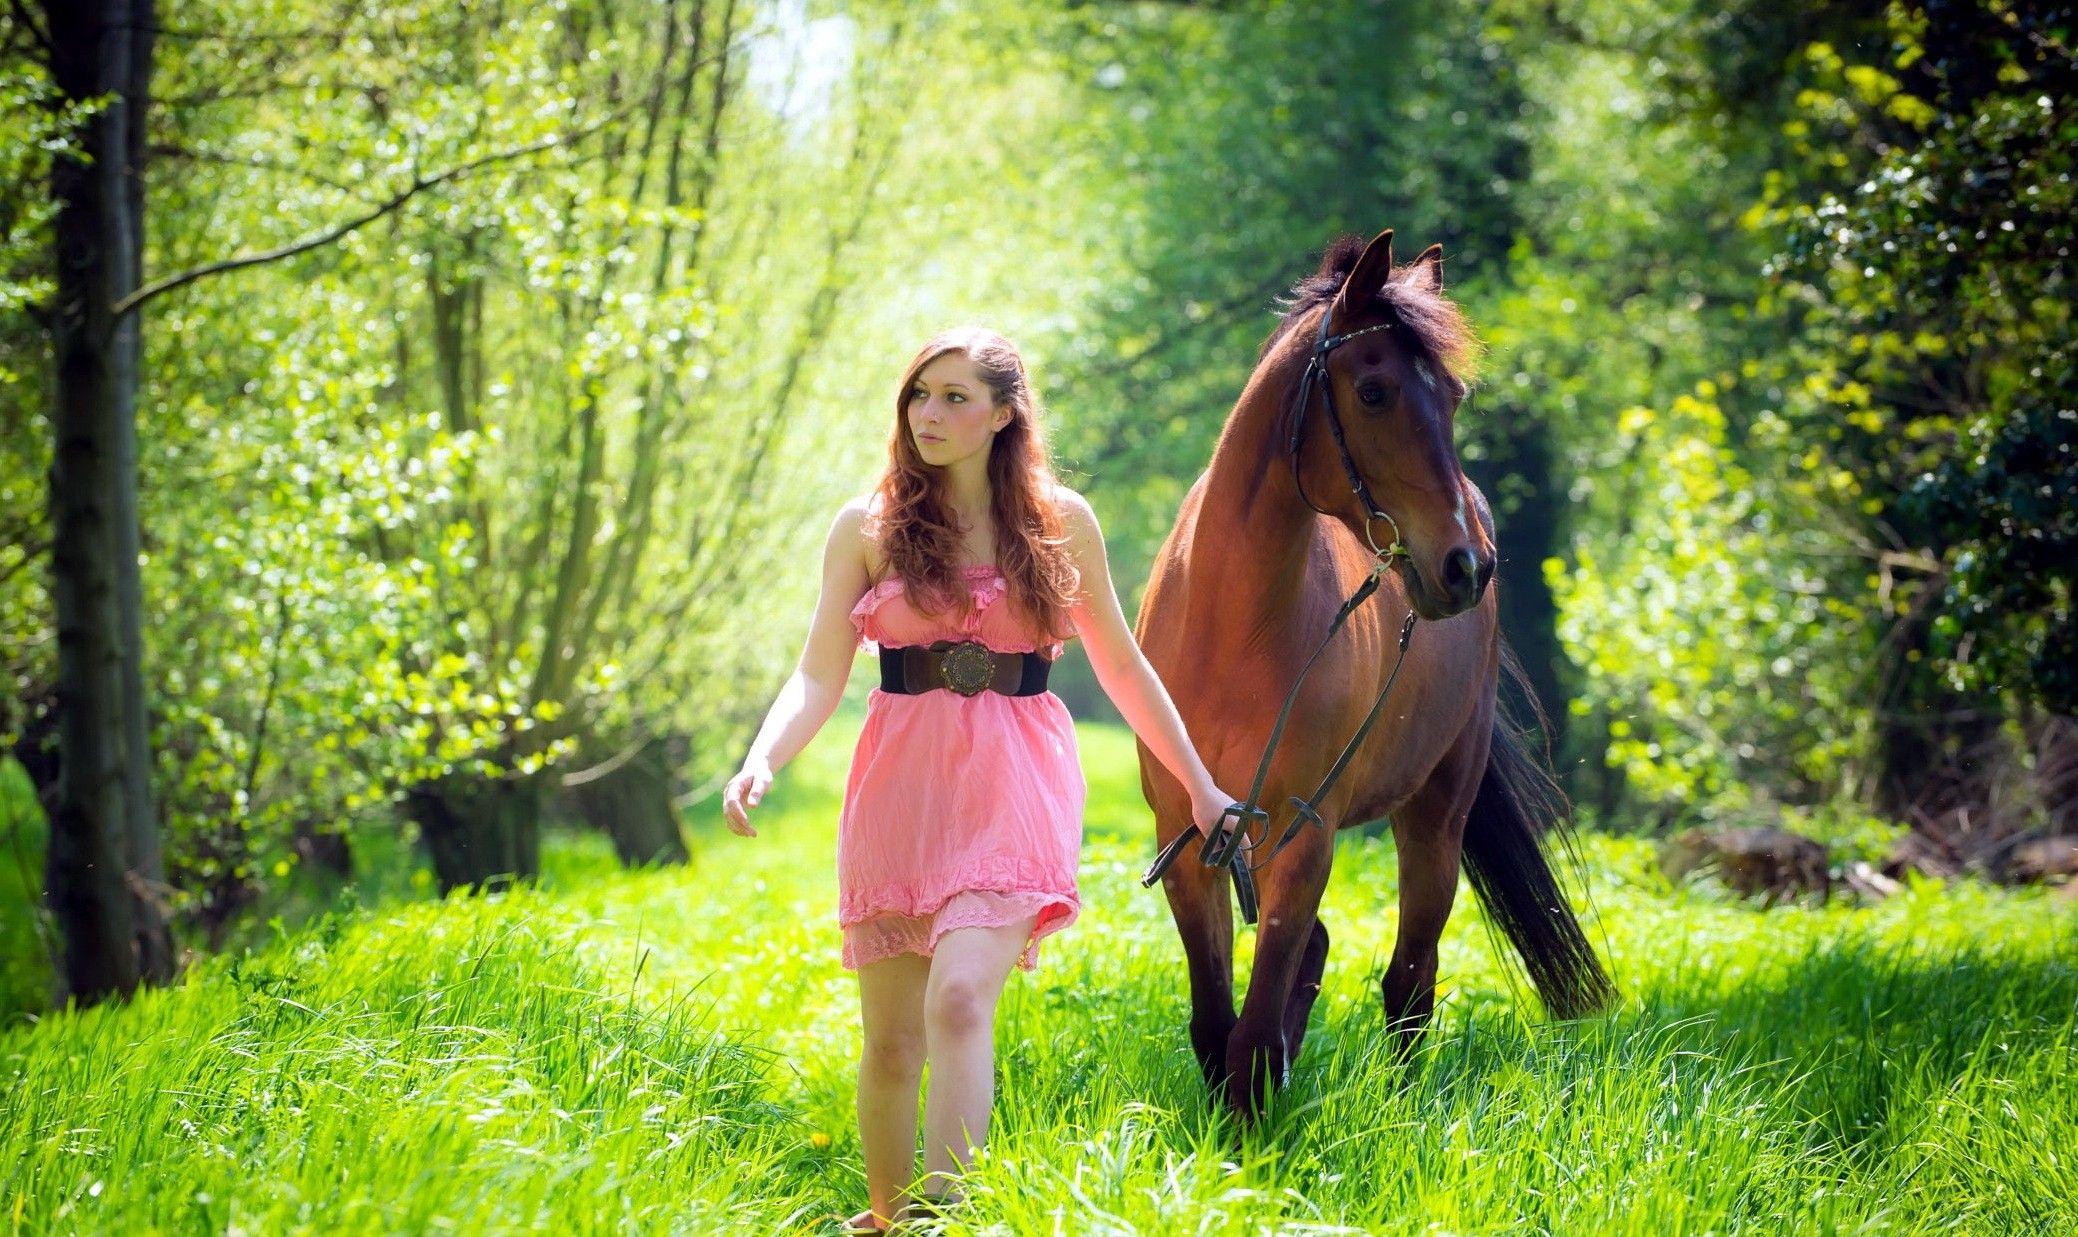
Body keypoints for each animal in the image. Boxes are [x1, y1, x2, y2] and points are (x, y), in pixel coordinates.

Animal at [1132, 228, 1615, 1119]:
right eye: (1375, 391)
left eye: (1454, 397)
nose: (1467, 566)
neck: (1231, 625)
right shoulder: (1187, 837)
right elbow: (1217, 1024)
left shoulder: (1304, 833)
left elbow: (1253, 1031)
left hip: (1434, 818)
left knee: (1410, 981)